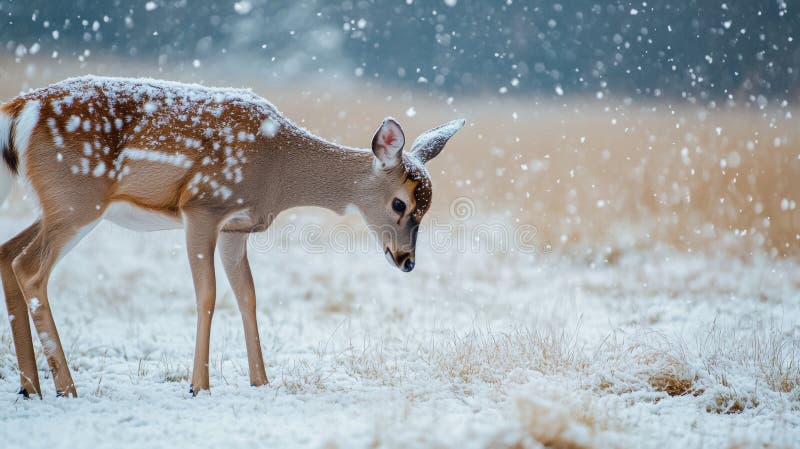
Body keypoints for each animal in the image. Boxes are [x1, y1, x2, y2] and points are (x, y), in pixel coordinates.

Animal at [0, 76, 464, 398]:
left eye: (426, 208)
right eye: (400, 204)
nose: (406, 260)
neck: (277, 171)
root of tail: (19, 109)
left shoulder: (237, 228)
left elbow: (248, 295)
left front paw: (261, 381)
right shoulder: (203, 206)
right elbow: (208, 294)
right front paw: (198, 386)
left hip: (59, 205)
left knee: (8, 253)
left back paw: (29, 386)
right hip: (76, 199)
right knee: (30, 267)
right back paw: (66, 387)